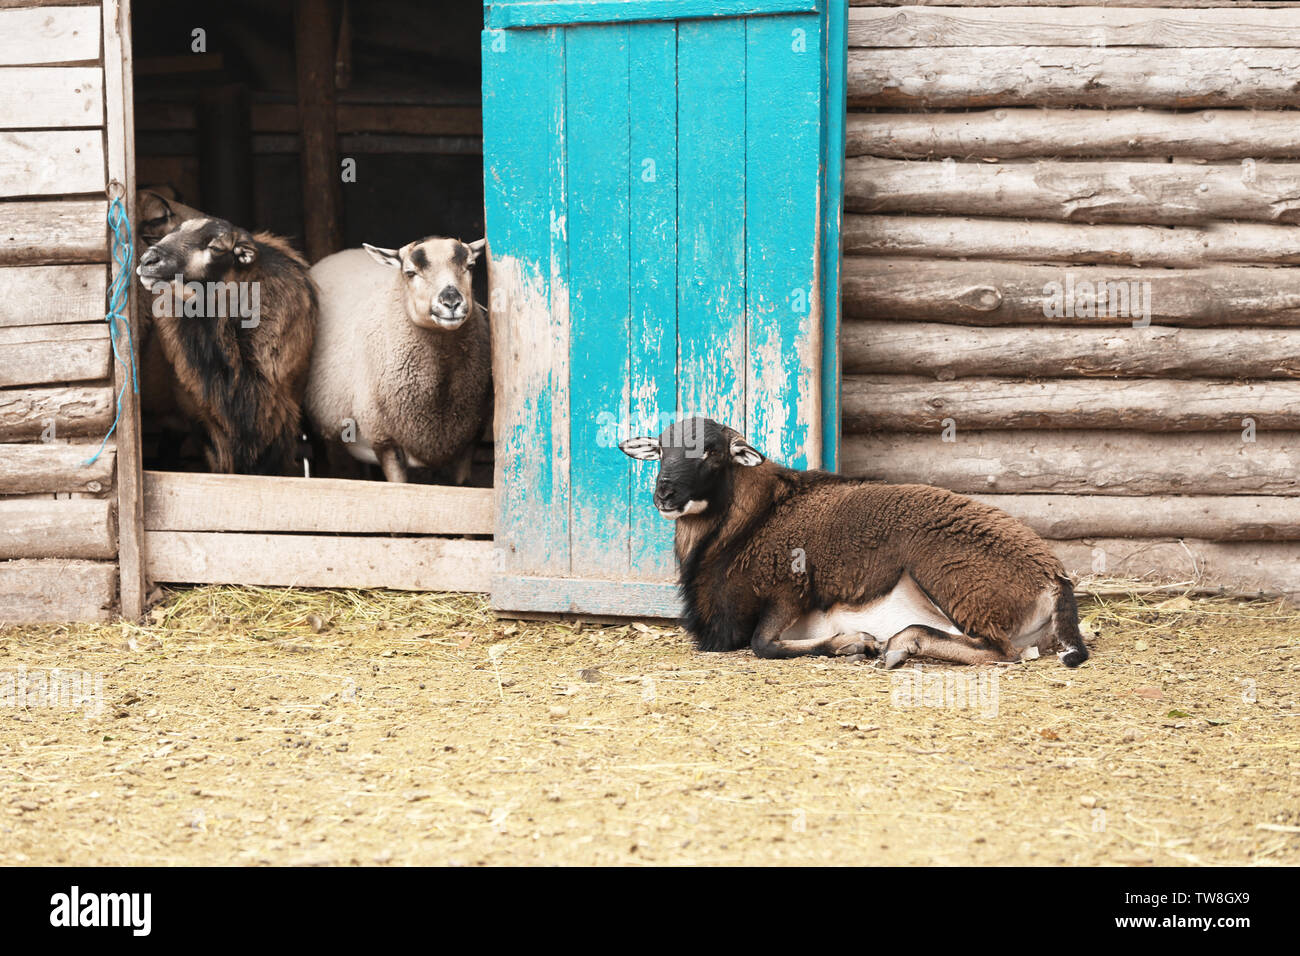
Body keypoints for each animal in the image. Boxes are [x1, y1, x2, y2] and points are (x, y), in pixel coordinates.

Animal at [303, 236, 490, 483]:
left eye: (470, 266)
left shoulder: (469, 439)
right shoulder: (384, 439)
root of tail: (338, 255)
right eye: (410, 272)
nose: (451, 302)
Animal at [619, 417, 1090, 668]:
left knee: (1000, 651)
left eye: (712, 451)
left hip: (948, 578)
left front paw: (855, 642)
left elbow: (762, 644)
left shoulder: (790, 591)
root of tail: (1053, 577)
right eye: (660, 450)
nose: (665, 495)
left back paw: (901, 645)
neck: (746, 526)